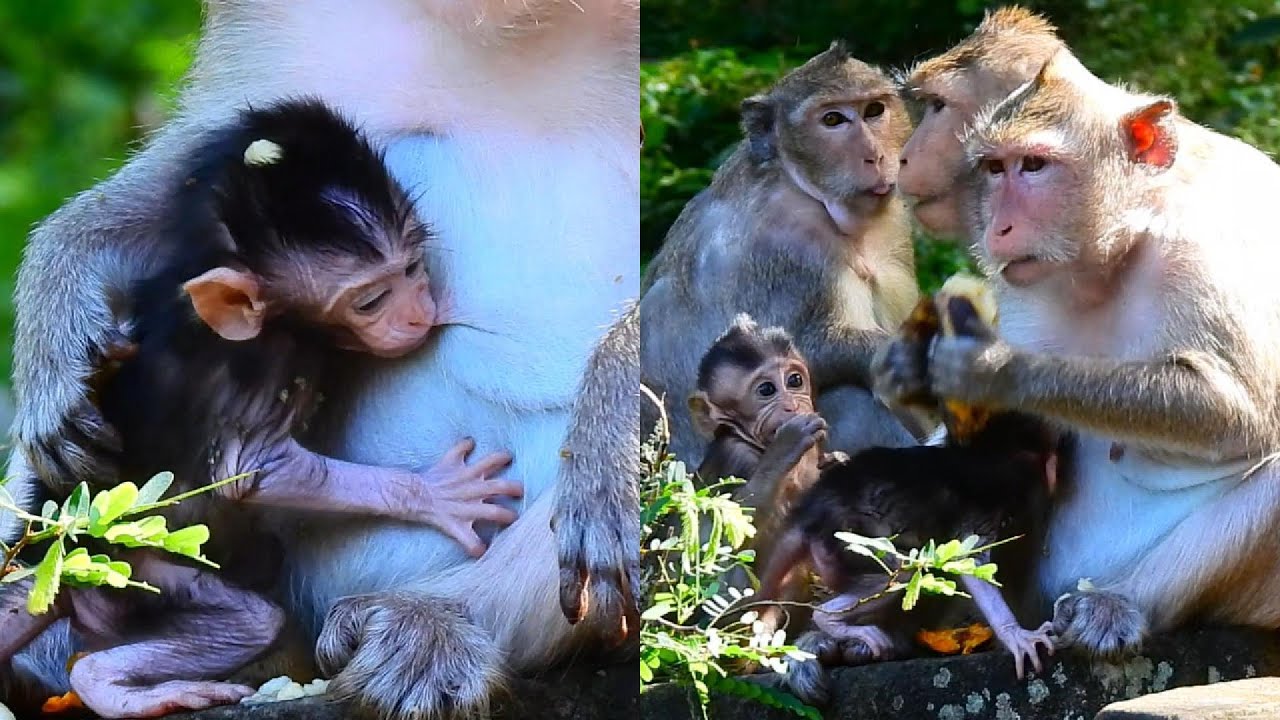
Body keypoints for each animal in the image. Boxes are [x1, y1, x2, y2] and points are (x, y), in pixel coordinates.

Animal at [3, 2, 639, 716]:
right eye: (371, 298)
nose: (417, 313)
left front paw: (609, 434)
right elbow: (200, 182)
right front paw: (56, 325)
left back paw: (426, 626)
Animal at [640, 41, 924, 473]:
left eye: (874, 110)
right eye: (832, 120)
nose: (875, 156)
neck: (801, 186)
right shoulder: (789, 249)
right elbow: (806, 351)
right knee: (851, 398)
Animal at [876, 44, 1280, 661]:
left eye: (1034, 166)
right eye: (995, 169)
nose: (998, 228)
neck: (1116, 255)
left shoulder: (1204, 249)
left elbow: (1243, 415)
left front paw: (995, 372)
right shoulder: (1018, 286)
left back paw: (1118, 605)